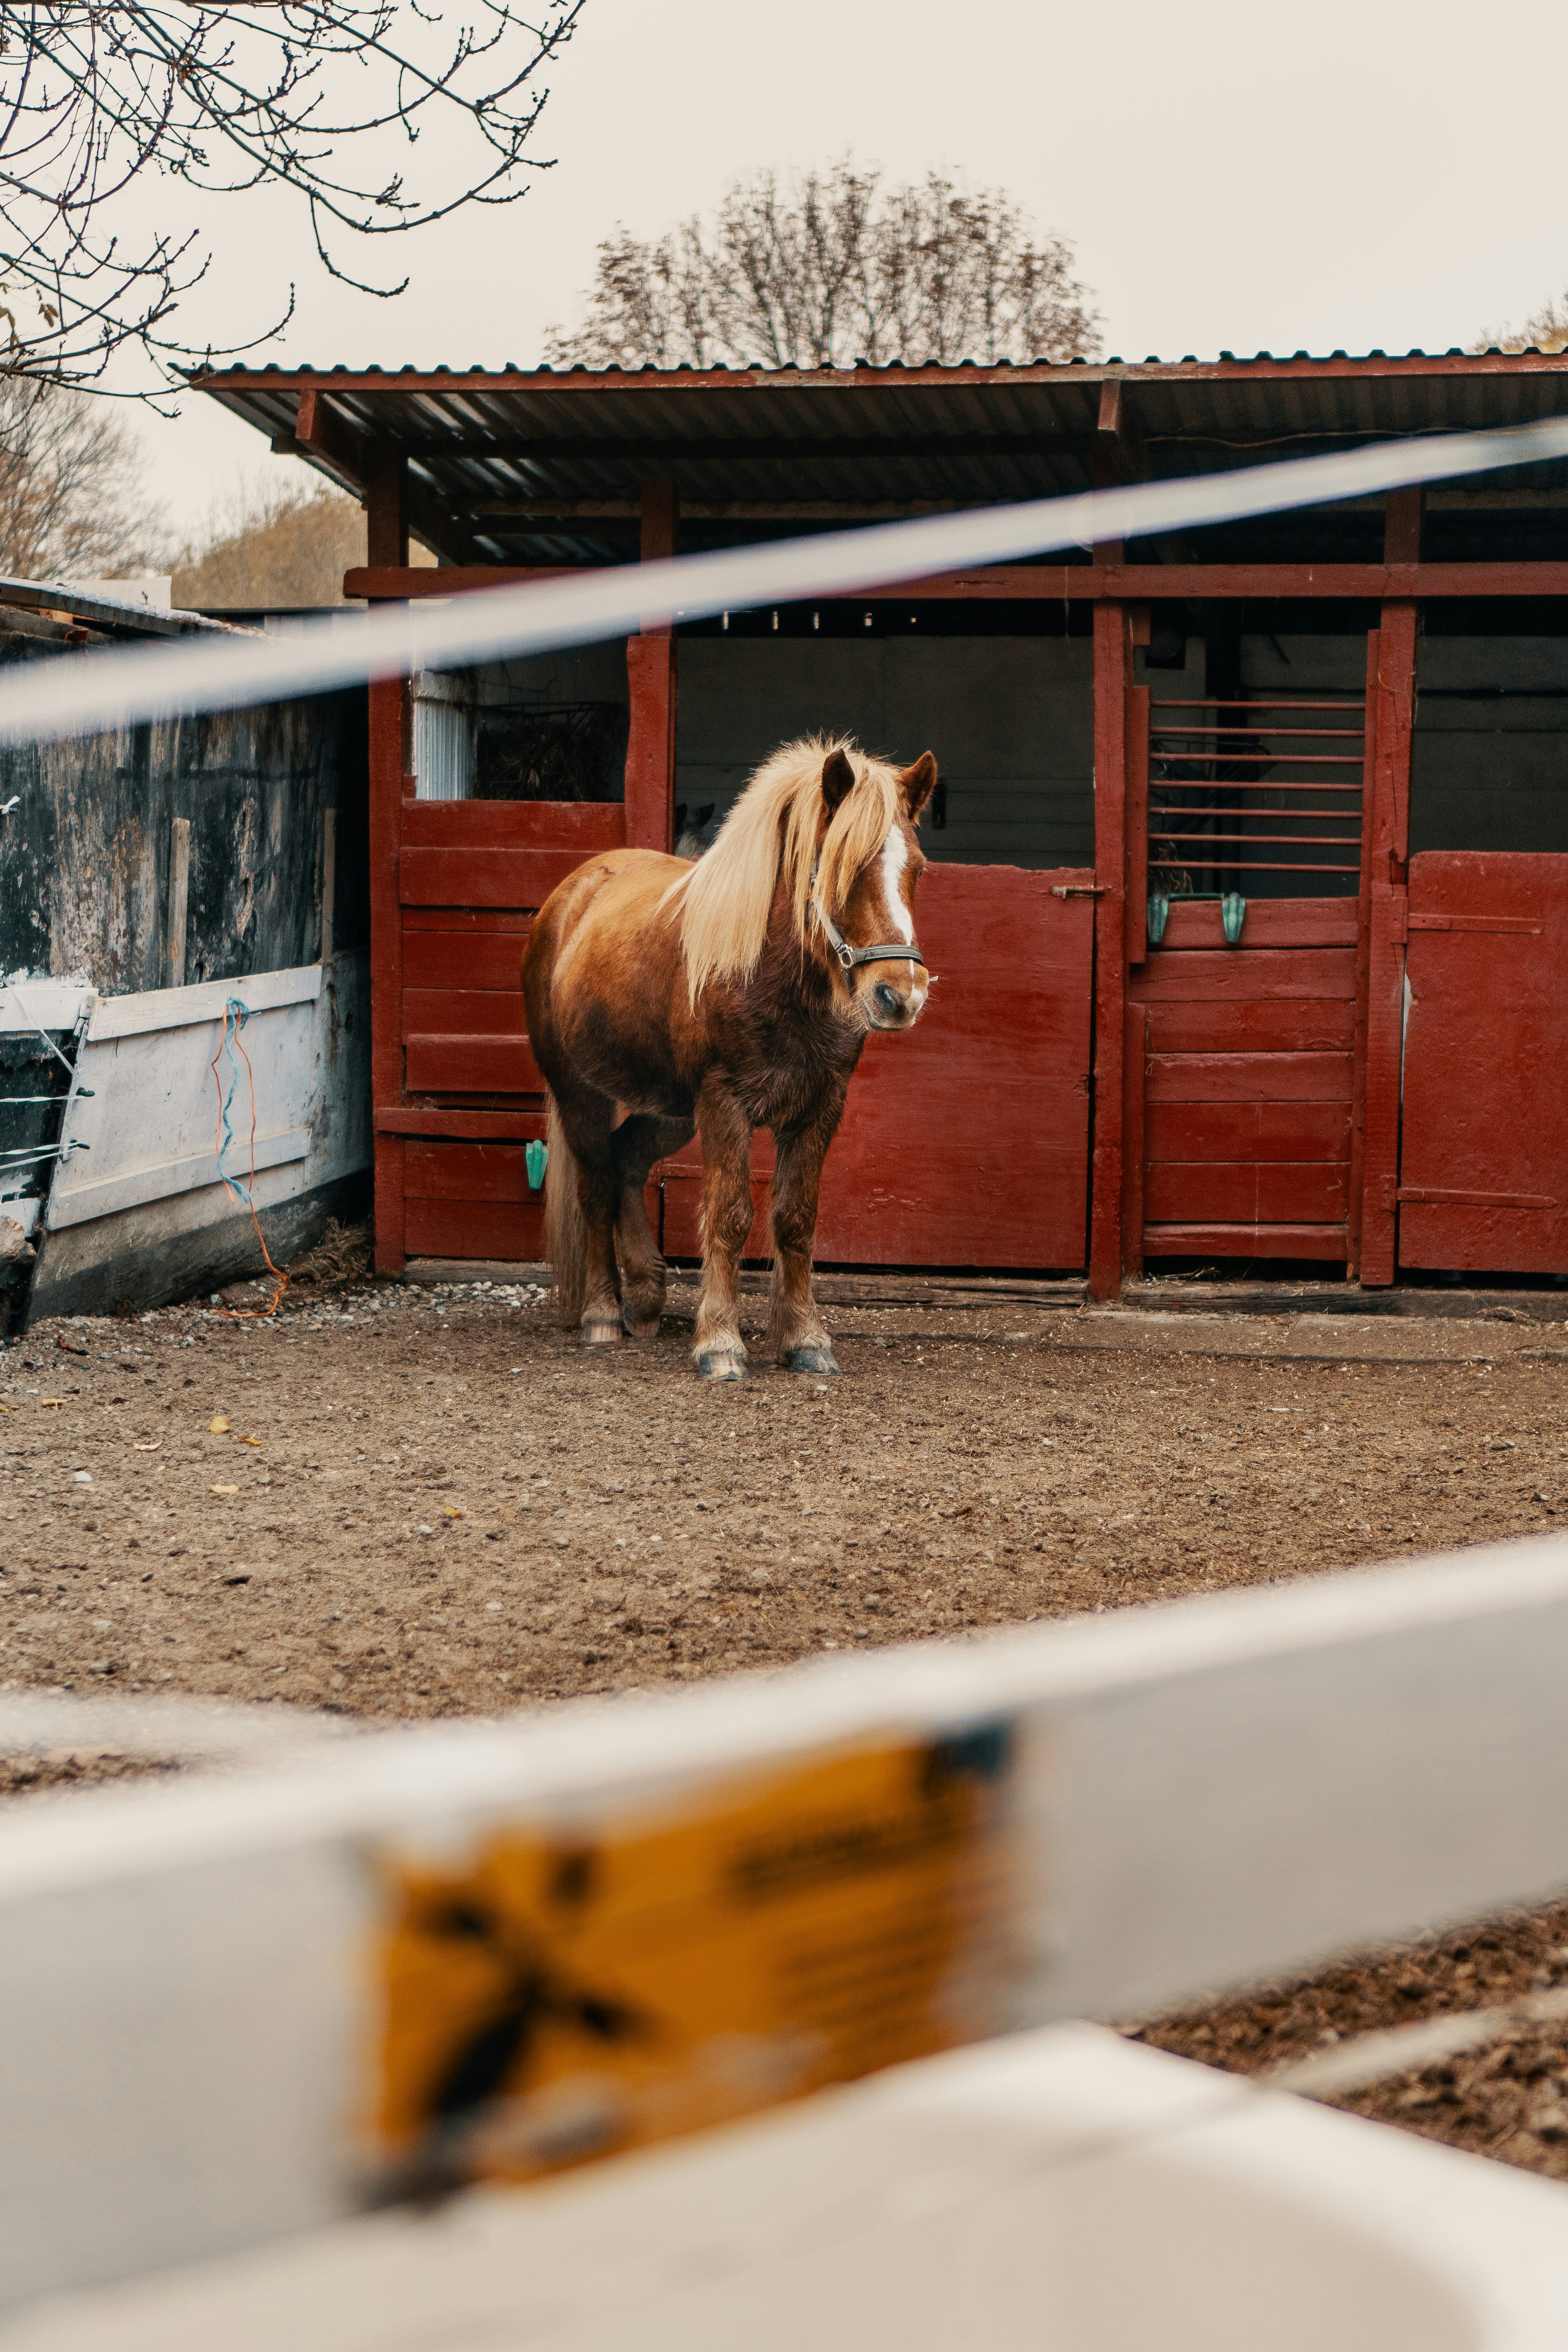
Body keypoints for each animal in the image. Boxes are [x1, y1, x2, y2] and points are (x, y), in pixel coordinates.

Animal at [522, 735, 939, 1381]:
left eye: (915, 869)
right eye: (844, 869)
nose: (901, 997)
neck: (775, 979)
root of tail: (569, 897)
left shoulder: (820, 1108)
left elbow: (795, 1219)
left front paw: (805, 1339)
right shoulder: (724, 1104)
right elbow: (731, 1215)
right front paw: (719, 1344)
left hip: (670, 1110)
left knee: (627, 1160)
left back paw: (645, 1296)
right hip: (580, 1095)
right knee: (595, 1186)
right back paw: (603, 1314)